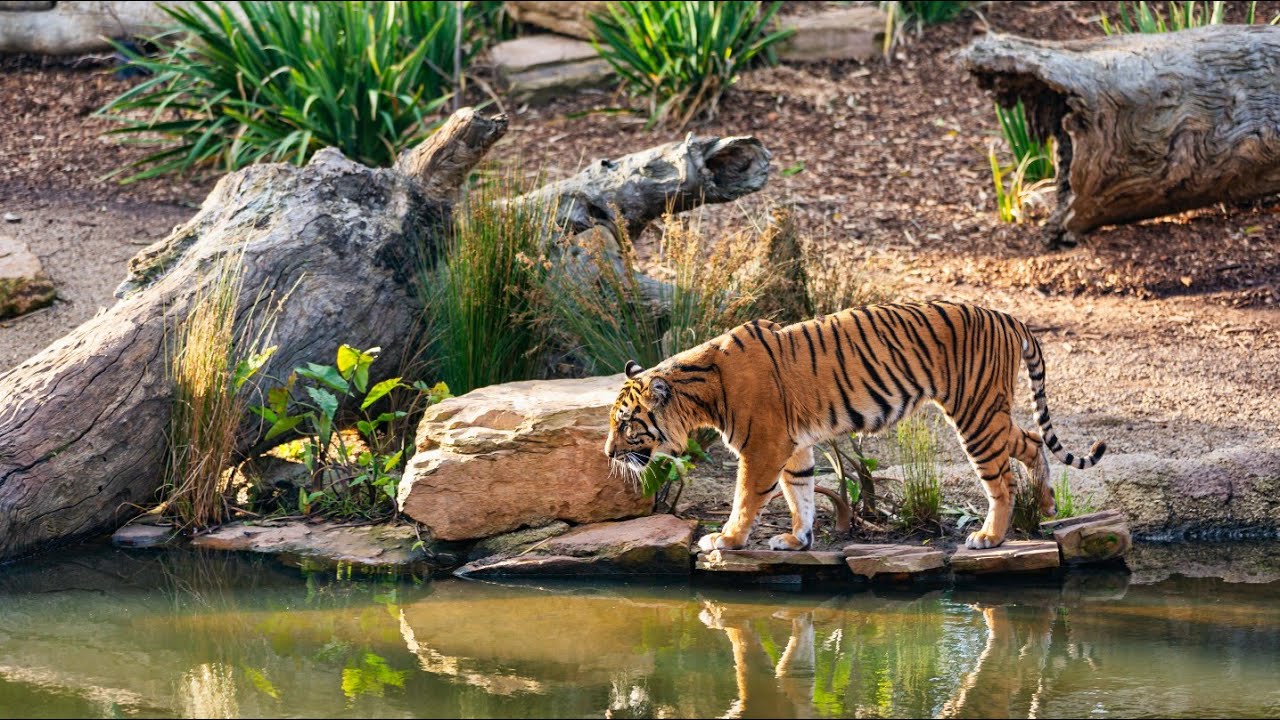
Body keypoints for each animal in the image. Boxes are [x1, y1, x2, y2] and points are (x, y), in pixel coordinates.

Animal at [603, 301, 1105, 552]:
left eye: (626, 424)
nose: (607, 453)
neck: (701, 390)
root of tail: (1006, 315)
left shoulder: (763, 447)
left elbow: (745, 498)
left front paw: (726, 539)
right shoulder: (794, 447)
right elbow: (800, 494)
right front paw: (797, 538)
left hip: (975, 413)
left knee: (1001, 481)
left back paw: (989, 536)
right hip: (991, 412)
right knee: (1033, 440)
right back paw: (1046, 503)